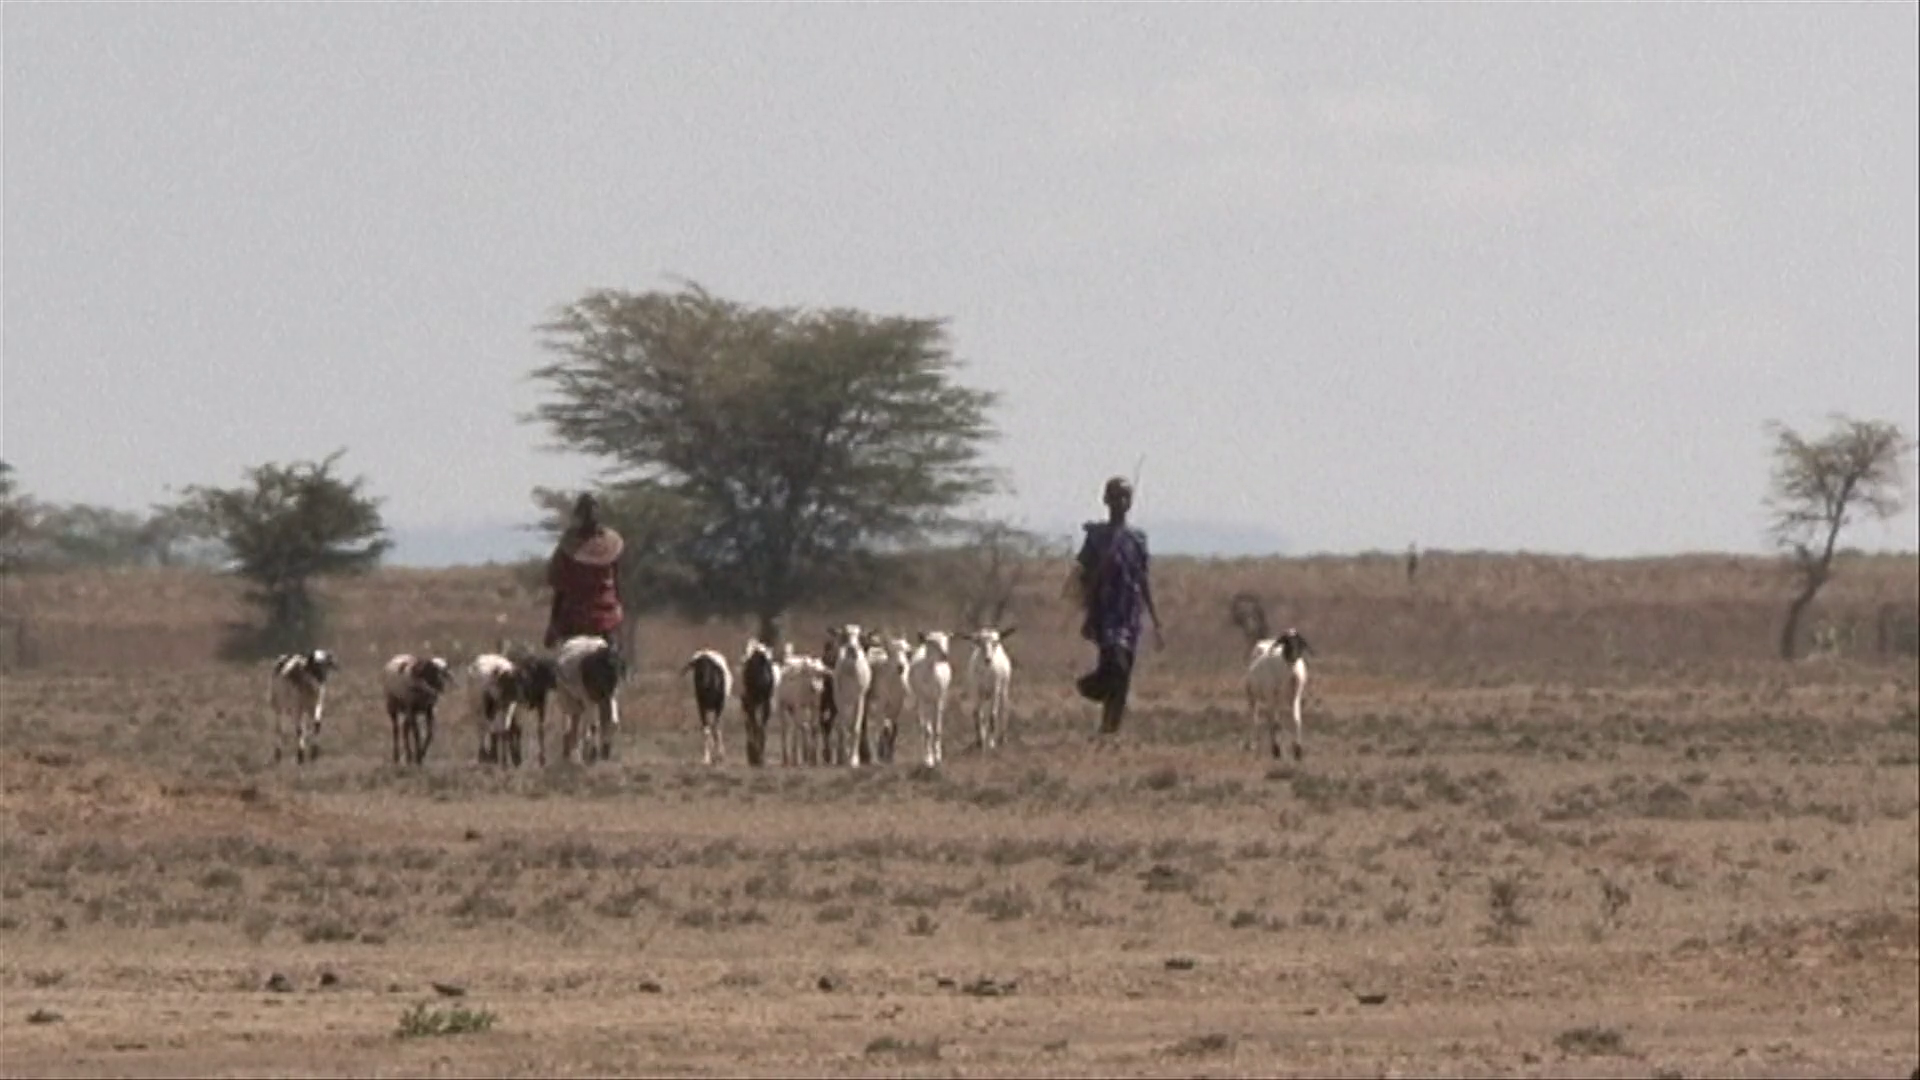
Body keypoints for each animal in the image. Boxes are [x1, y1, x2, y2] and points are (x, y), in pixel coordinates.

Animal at [553, 635, 623, 765]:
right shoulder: (590, 699)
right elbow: (595, 725)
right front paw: (594, 753)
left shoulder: (609, 695)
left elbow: (611, 722)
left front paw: (604, 751)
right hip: (571, 699)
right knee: (573, 723)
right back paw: (574, 752)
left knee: (578, 721)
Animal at [738, 639, 778, 768]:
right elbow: (758, 726)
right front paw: (756, 755)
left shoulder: (751, 703)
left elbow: (752, 725)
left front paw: (753, 754)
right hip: (764, 703)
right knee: (761, 726)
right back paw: (759, 755)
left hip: (754, 703)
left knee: (755, 725)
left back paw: (756, 754)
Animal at [907, 631, 955, 768]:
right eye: (932, 642)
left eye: (946, 640)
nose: (945, 655)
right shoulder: (923, 699)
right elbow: (928, 731)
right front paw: (929, 760)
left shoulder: (938, 698)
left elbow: (937, 729)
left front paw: (938, 757)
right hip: (921, 701)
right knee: (922, 725)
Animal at [1246, 628, 1313, 760]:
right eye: (1285, 641)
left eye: (1299, 642)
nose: (1294, 656)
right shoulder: (1271, 697)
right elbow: (1275, 724)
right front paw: (1276, 750)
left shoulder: (1295, 698)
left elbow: (1296, 720)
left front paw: (1298, 751)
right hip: (1254, 697)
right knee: (1256, 719)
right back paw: (1254, 745)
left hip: (1276, 701)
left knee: (1273, 720)